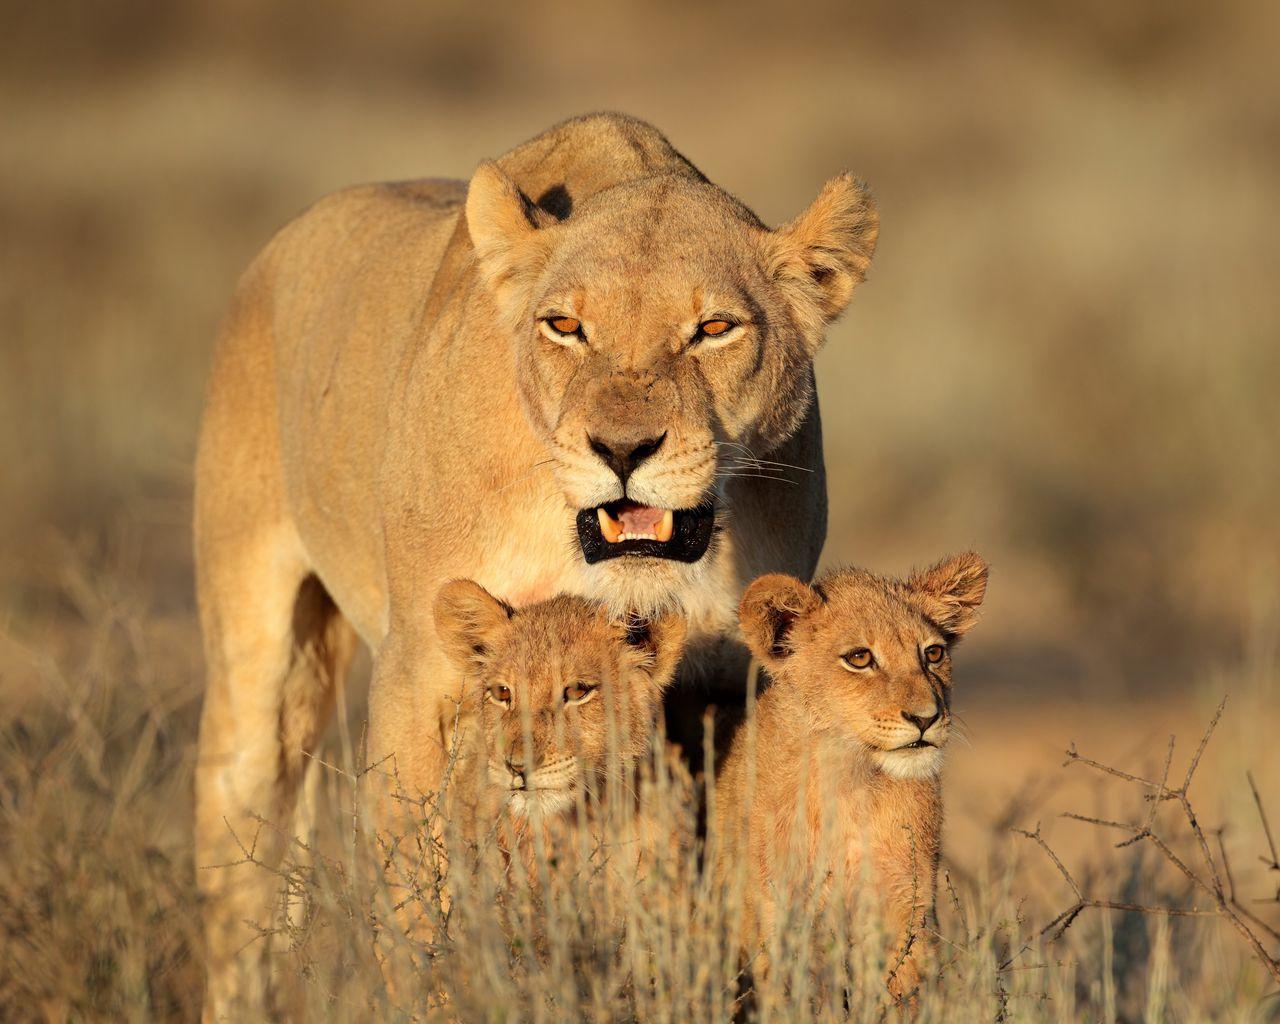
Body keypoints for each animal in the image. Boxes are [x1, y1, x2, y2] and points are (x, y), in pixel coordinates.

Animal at [193, 112, 878, 1016]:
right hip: (255, 651)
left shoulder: (729, 690)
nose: (622, 450)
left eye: (714, 329)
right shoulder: (421, 674)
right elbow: (417, 897)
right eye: (566, 327)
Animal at [713, 553, 988, 1001]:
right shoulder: (780, 912)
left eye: (933, 653)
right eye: (860, 658)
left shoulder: (905, 910)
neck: (850, 780)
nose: (926, 718)